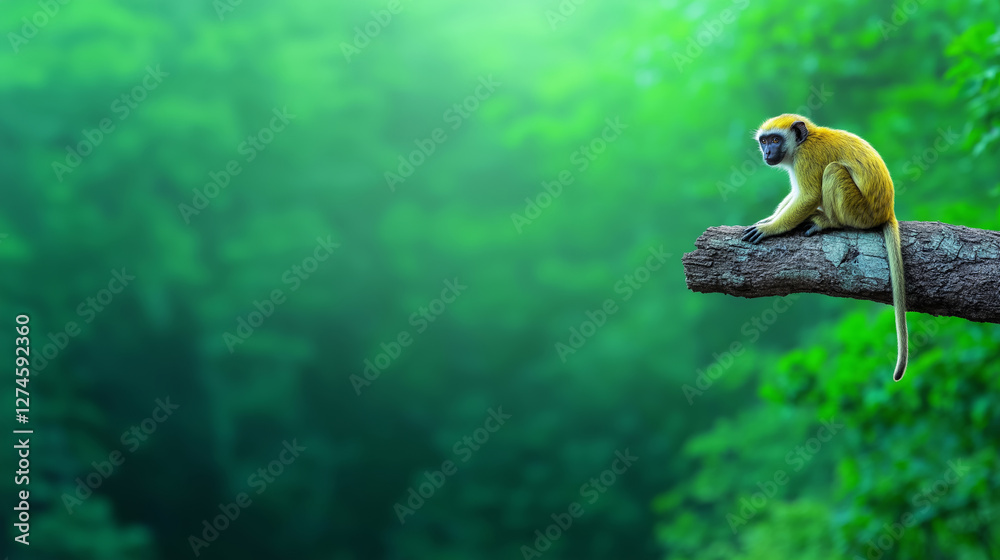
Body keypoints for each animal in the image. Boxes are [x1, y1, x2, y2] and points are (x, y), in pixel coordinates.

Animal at [741, 114, 908, 381]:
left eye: (775, 140)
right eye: (764, 141)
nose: (767, 152)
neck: (805, 141)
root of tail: (886, 211)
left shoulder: (807, 158)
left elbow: (807, 196)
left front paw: (771, 228)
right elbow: (796, 195)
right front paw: (768, 220)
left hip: (858, 212)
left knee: (833, 171)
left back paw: (828, 222)